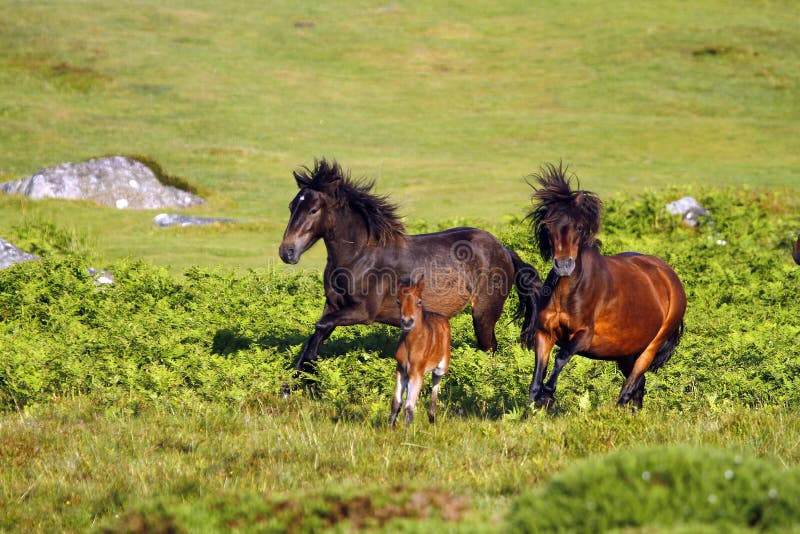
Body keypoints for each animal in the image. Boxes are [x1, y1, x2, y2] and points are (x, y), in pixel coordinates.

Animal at [279, 159, 542, 386]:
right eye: (291, 206)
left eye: (313, 210)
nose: (287, 252)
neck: (359, 257)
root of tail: (504, 249)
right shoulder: (333, 306)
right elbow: (318, 331)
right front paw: (297, 379)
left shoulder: (363, 312)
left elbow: (321, 326)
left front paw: (303, 375)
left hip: (484, 313)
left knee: (489, 349)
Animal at [390, 276, 451, 427]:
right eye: (398, 301)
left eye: (419, 302)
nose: (407, 322)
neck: (412, 344)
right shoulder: (401, 370)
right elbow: (396, 402)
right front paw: (389, 428)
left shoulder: (417, 373)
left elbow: (409, 407)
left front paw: (407, 431)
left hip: (441, 367)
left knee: (436, 382)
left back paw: (432, 417)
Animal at [522, 163, 686, 409]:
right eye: (548, 227)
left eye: (579, 227)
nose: (564, 265)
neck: (569, 292)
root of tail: (670, 277)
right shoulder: (544, 333)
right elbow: (536, 378)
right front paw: (532, 408)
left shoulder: (584, 336)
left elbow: (560, 357)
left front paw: (548, 395)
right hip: (626, 351)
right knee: (638, 386)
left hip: (650, 347)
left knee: (631, 385)